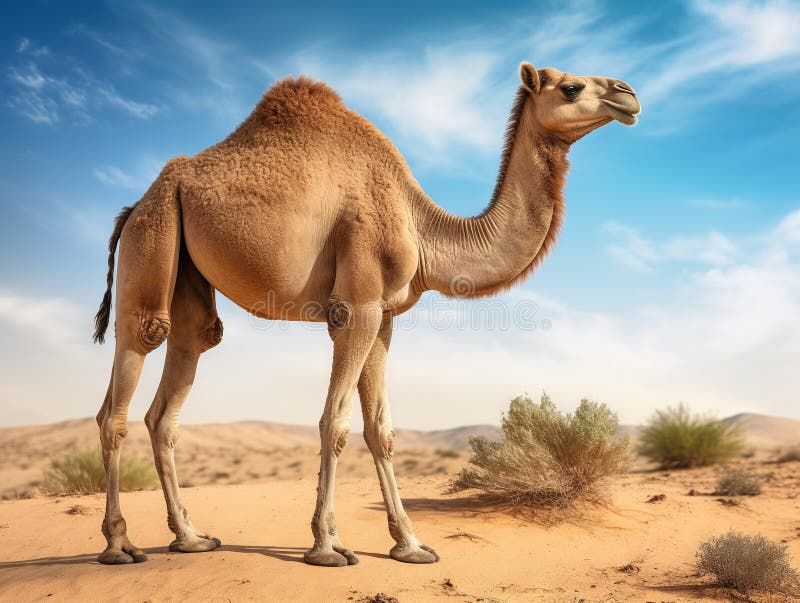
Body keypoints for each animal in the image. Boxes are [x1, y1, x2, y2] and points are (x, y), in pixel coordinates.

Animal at [91, 62, 640, 567]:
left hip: (183, 259)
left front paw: (411, 545)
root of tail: (134, 204)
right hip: (154, 233)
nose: (628, 94)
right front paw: (326, 546)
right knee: (124, 383)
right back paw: (119, 545)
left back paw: (190, 537)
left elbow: (381, 430)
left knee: (179, 373)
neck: (421, 226)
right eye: (571, 87)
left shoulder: (385, 316)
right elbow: (334, 423)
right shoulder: (355, 307)